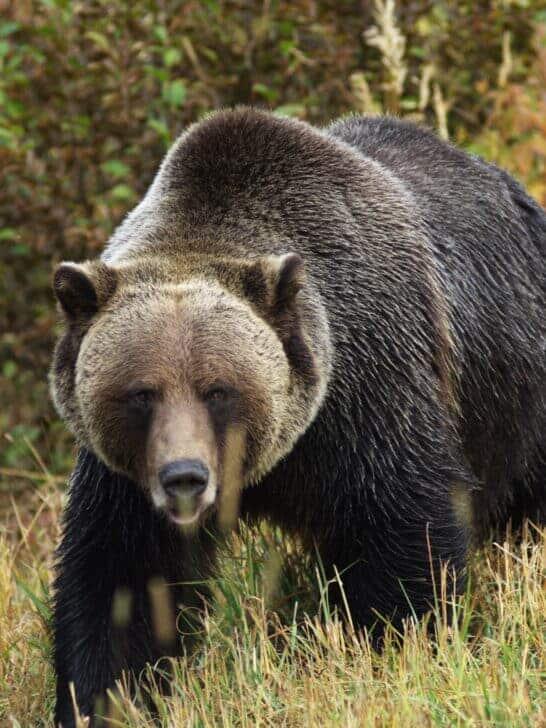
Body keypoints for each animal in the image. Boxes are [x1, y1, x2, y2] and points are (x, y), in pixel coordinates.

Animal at [50, 108, 546, 727]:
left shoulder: (370, 396)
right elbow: (120, 578)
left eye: (218, 390)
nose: (185, 477)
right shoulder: (125, 479)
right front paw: (108, 697)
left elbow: (404, 539)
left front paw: (393, 653)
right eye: (141, 393)